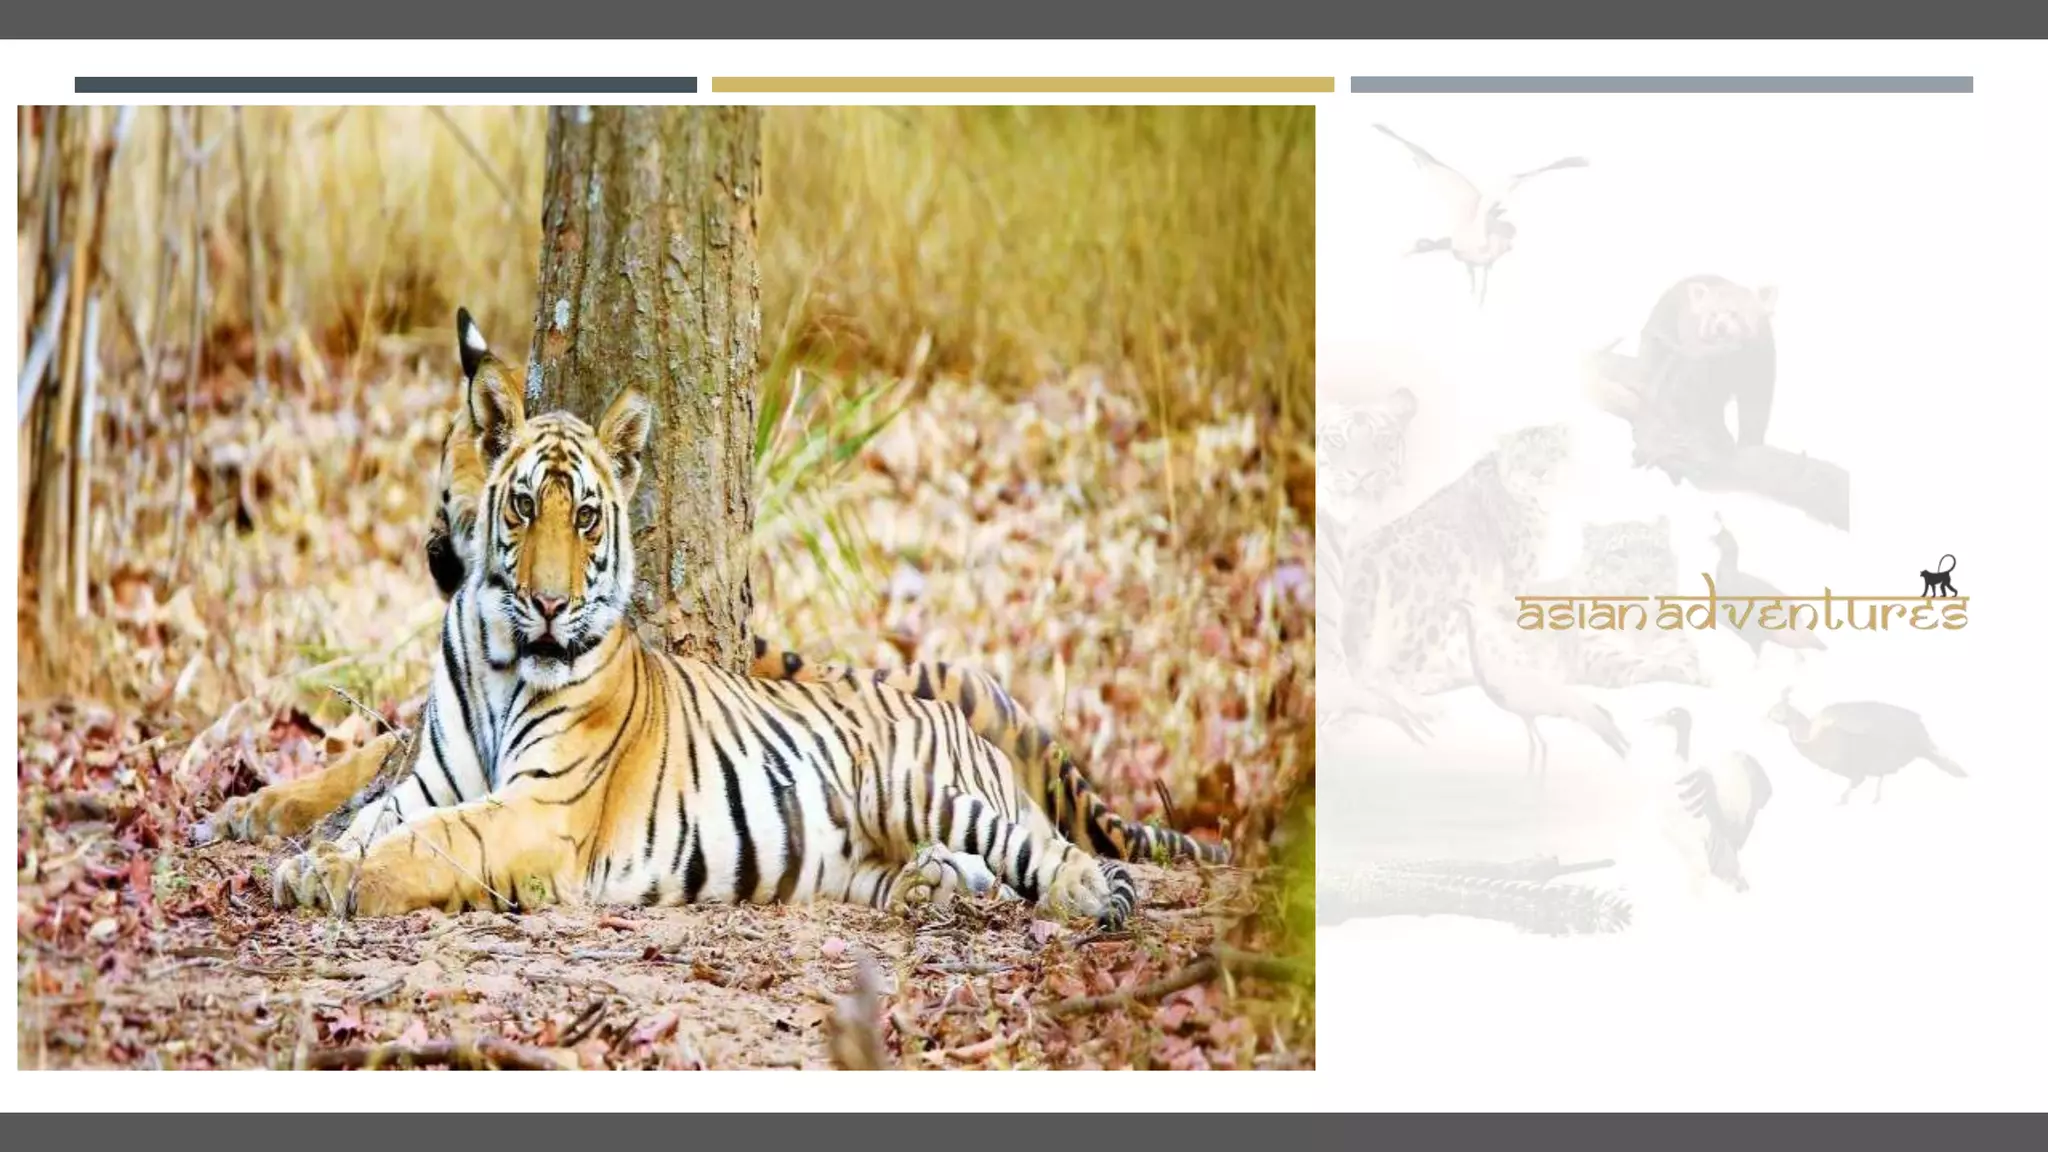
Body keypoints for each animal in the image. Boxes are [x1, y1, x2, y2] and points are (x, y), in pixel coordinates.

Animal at [193, 313, 1221, 885]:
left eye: (586, 517)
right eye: (519, 504)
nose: (438, 547)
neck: (491, 650)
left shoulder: (530, 806)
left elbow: (410, 823)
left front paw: (302, 850)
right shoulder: (430, 777)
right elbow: (369, 797)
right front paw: (281, 829)